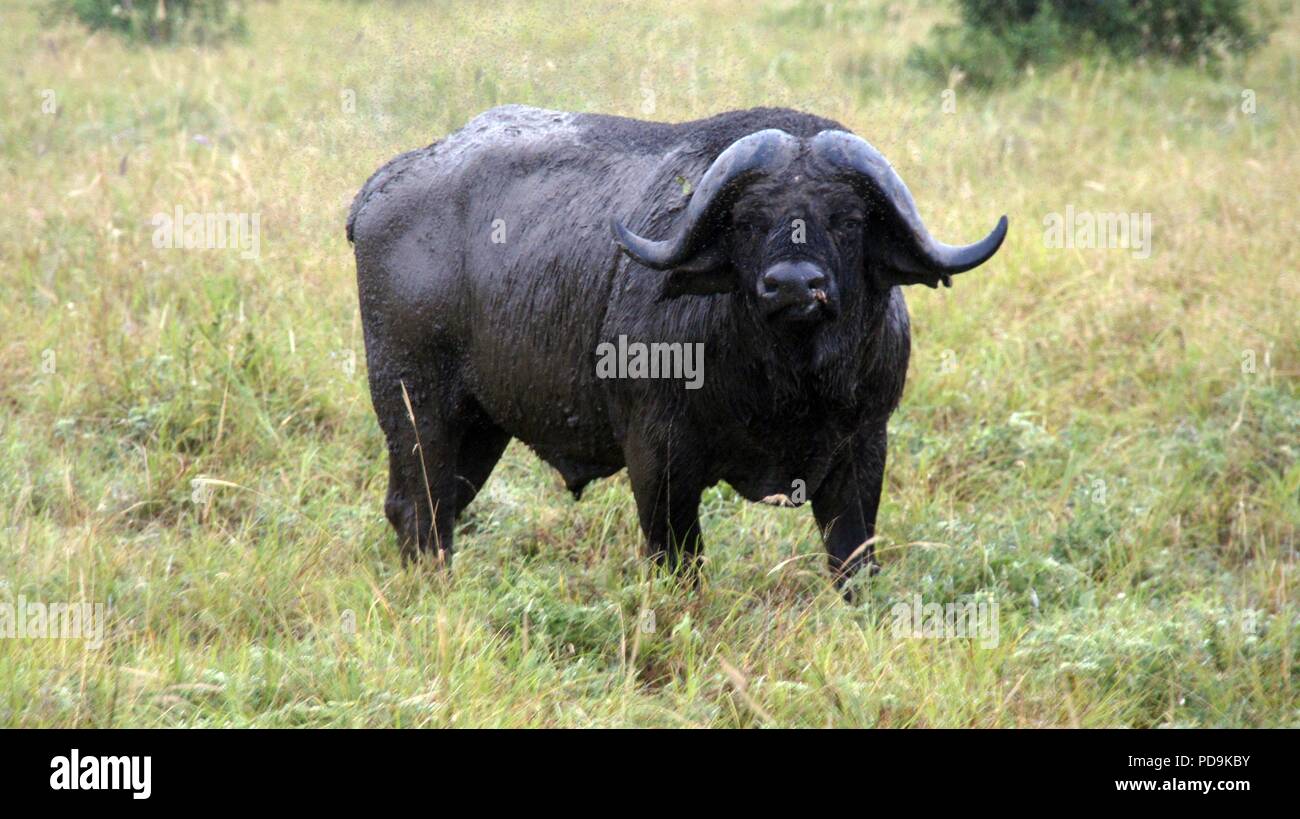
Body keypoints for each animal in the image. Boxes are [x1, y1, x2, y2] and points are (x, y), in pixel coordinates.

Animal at [348, 104, 1006, 592]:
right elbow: (678, 561)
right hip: (416, 410)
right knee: (419, 509)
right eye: (747, 220)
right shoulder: (658, 456)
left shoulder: (865, 447)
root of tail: (380, 187)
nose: (794, 284)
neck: (786, 382)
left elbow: (853, 560)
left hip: (481, 428)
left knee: (440, 508)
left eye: (846, 220)